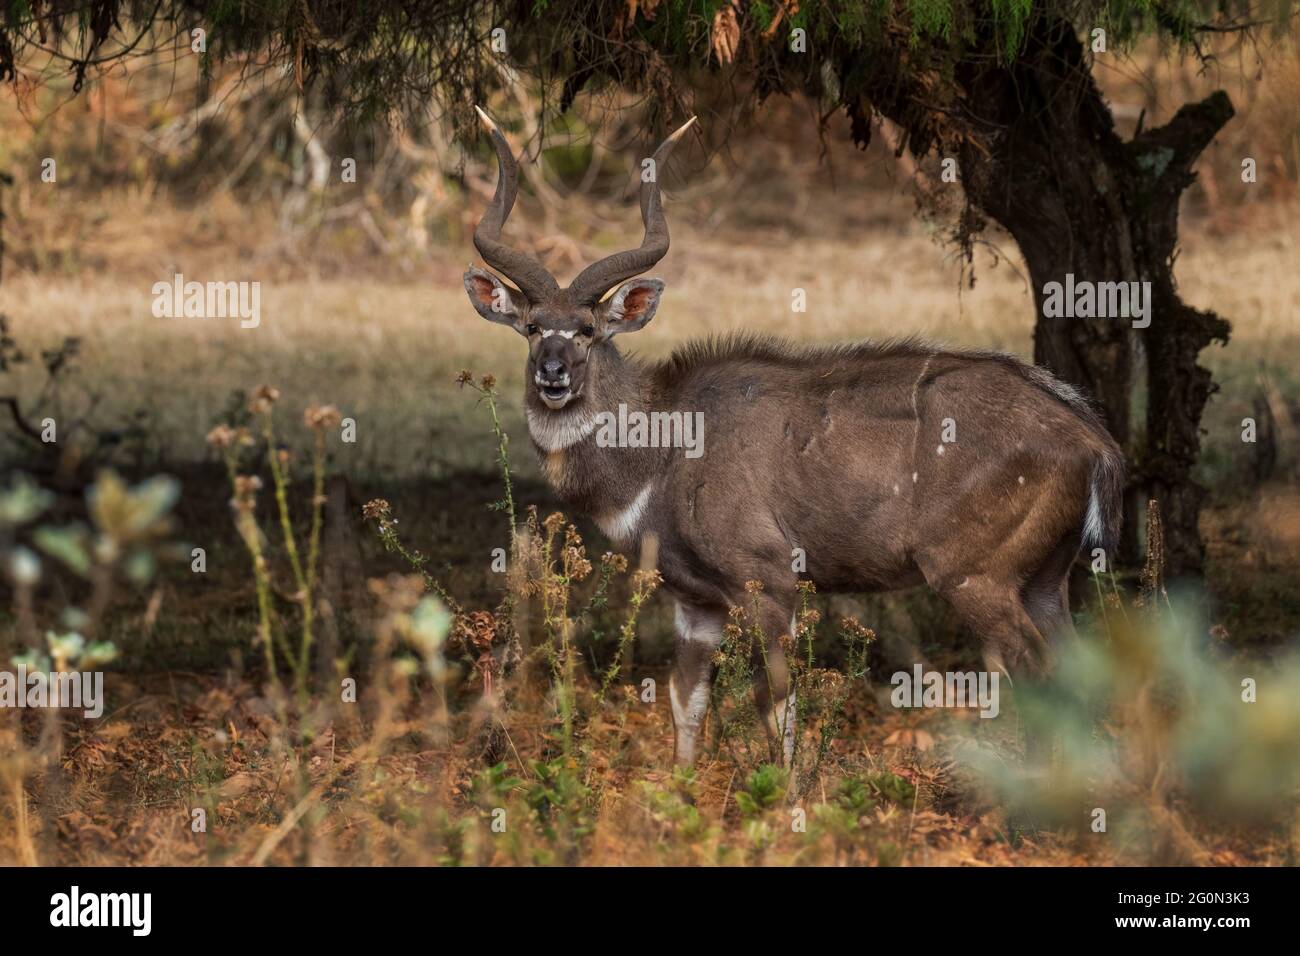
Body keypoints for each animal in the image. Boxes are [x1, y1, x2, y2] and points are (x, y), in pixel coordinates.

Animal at [462, 109, 1124, 766]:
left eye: (587, 330)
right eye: (531, 327)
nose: (552, 374)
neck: (662, 449)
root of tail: (1092, 440)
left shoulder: (769, 581)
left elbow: (775, 704)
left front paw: (788, 793)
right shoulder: (694, 602)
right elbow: (685, 703)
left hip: (974, 576)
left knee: (1035, 671)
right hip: (1045, 581)